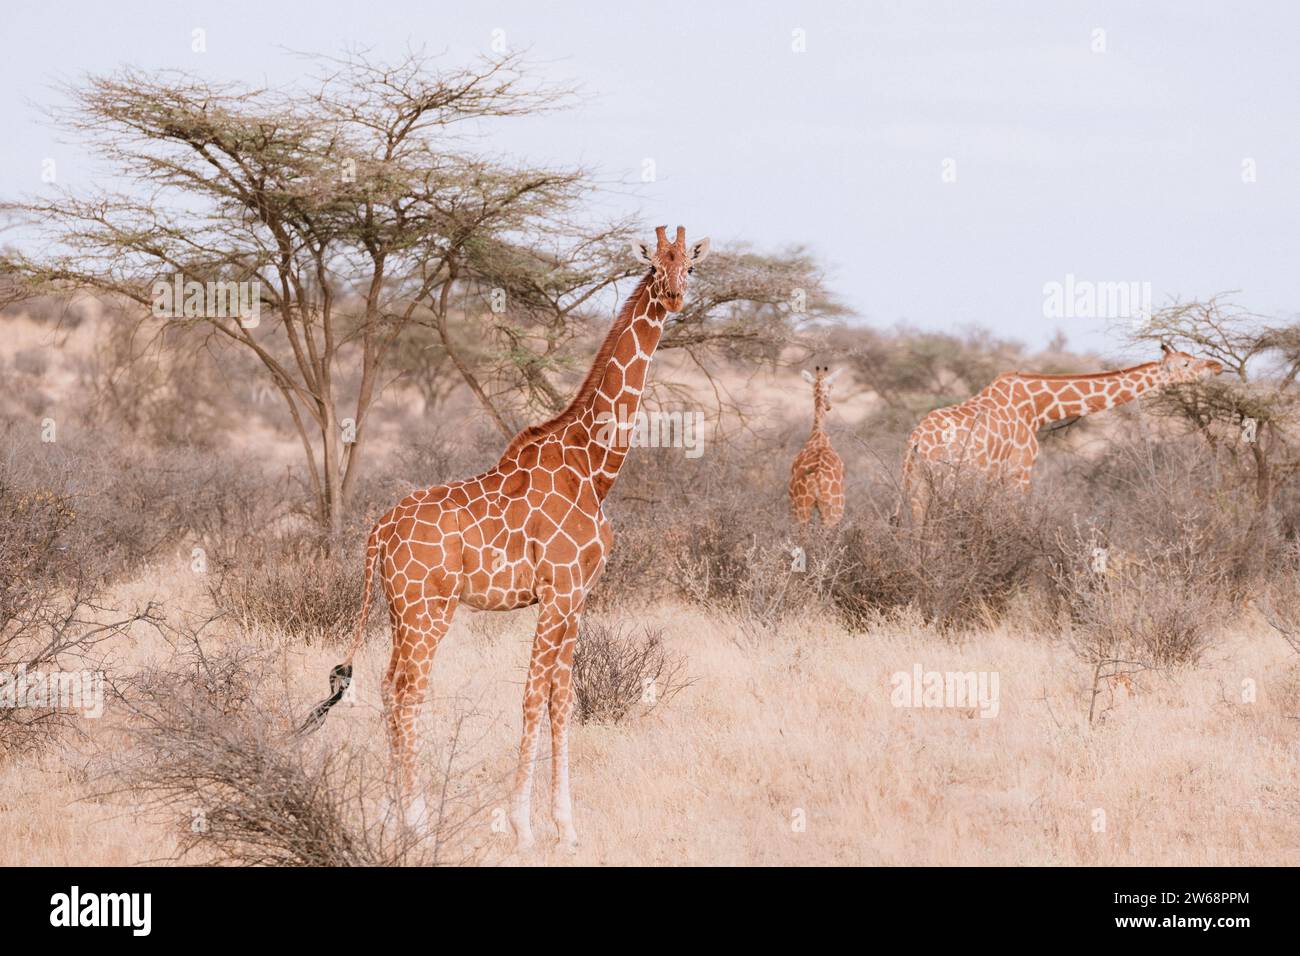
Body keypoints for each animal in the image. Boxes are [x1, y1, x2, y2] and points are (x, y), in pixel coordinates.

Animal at [305, 225, 710, 852]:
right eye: (655, 265)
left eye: (689, 265)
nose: (673, 297)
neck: (595, 466)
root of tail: (378, 531)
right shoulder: (558, 593)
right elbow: (532, 697)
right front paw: (523, 827)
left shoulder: (577, 599)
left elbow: (562, 699)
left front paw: (567, 827)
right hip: (429, 610)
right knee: (409, 690)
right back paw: (416, 821)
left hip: (399, 610)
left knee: (390, 685)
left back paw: (394, 815)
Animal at [789, 366, 845, 527]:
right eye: (832, 387)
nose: (829, 406)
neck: (818, 434)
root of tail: (818, 478)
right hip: (833, 512)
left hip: (802, 509)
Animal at [897, 343, 1223, 523]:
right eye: (1186, 362)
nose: (1216, 366)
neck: (1037, 408)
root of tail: (916, 441)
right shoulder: (1019, 472)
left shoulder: (998, 478)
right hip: (948, 482)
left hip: (916, 486)